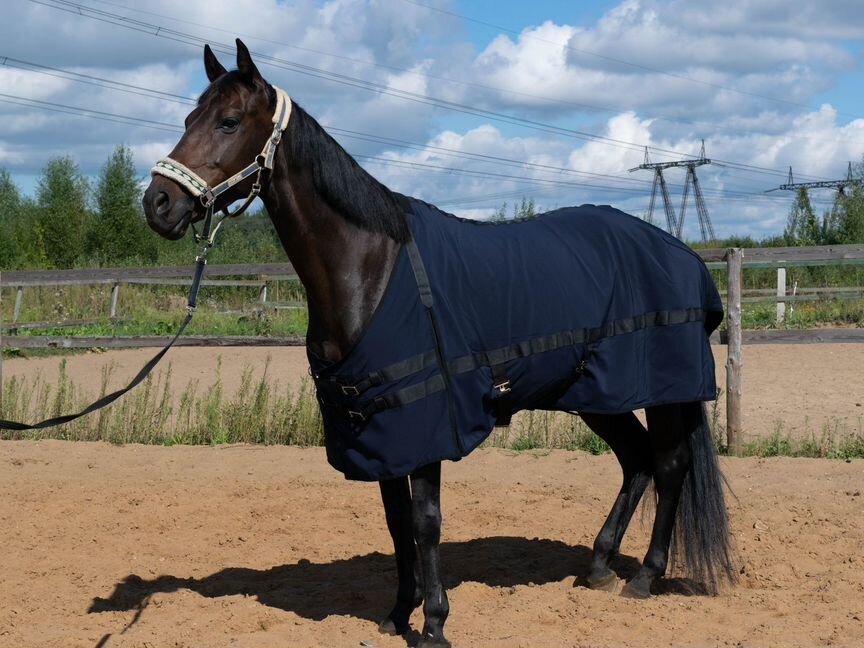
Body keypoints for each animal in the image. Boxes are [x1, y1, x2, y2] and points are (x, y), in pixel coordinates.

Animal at [142, 40, 735, 648]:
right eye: (188, 119)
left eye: (229, 121)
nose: (158, 203)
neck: (370, 268)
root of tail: (680, 255)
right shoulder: (377, 430)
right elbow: (397, 523)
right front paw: (396, 613)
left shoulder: (425, 425)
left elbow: (426, 524)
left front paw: (433, 624)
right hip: (596, 393)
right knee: (636, 459)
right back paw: (597, 567)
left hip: (663, 390)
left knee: (669, 465)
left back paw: (644, 576)